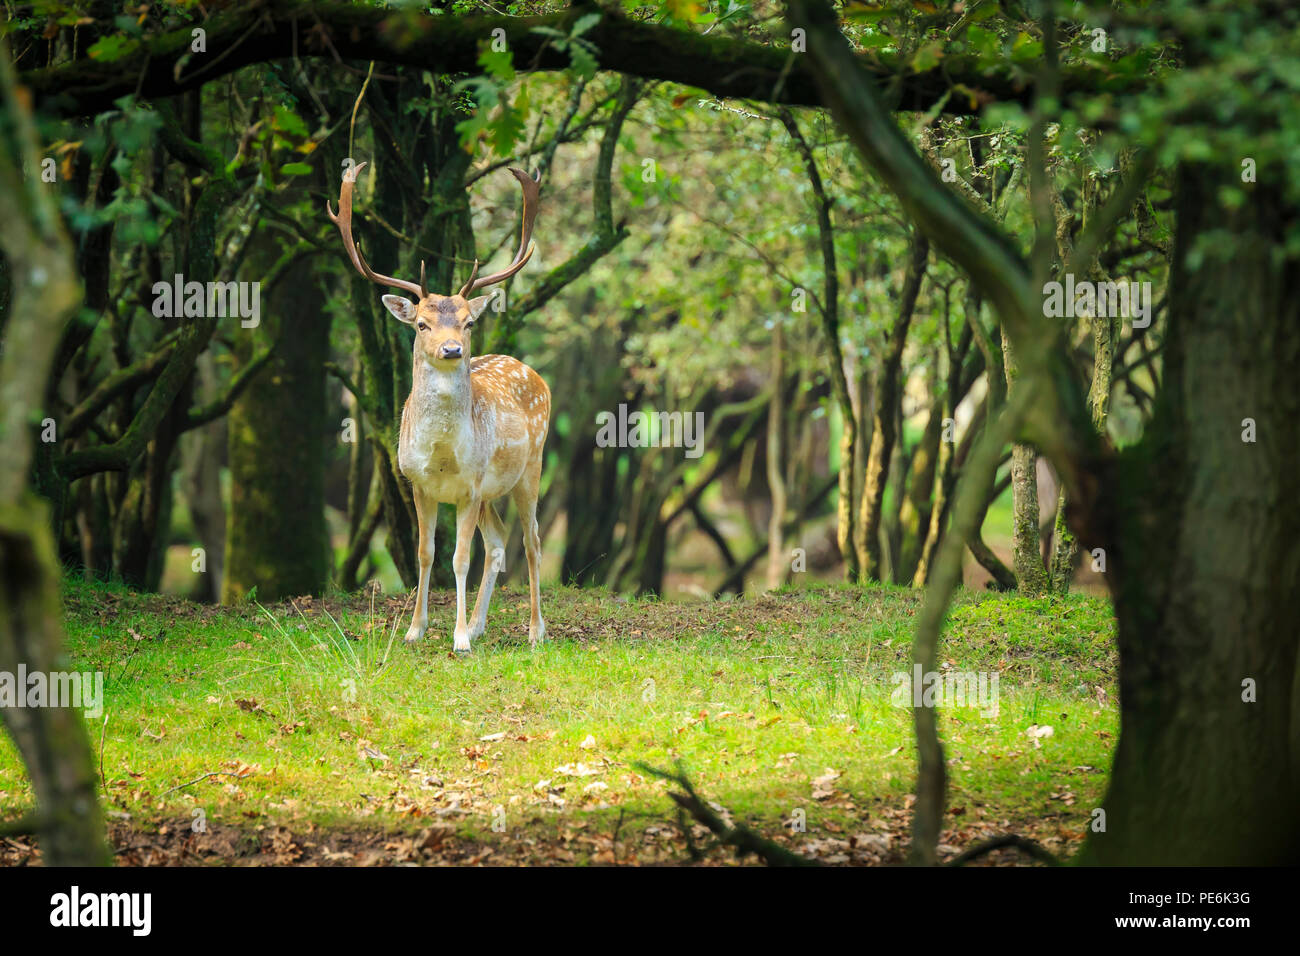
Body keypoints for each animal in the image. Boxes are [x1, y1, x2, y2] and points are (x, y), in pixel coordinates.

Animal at [327, 162, 549, 653]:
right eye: (422, 323)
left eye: (467, 322)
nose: (451, 349)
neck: (444, 456)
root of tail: (532, 371)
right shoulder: (417, 483)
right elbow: (425, 553)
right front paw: (415, 629)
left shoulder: (470, 486)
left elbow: (460, 557)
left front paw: (459, 638)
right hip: (493, 491)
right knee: (500, 541)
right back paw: (484, 624)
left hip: (530, 468)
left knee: (532, 540)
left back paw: (534, 630)